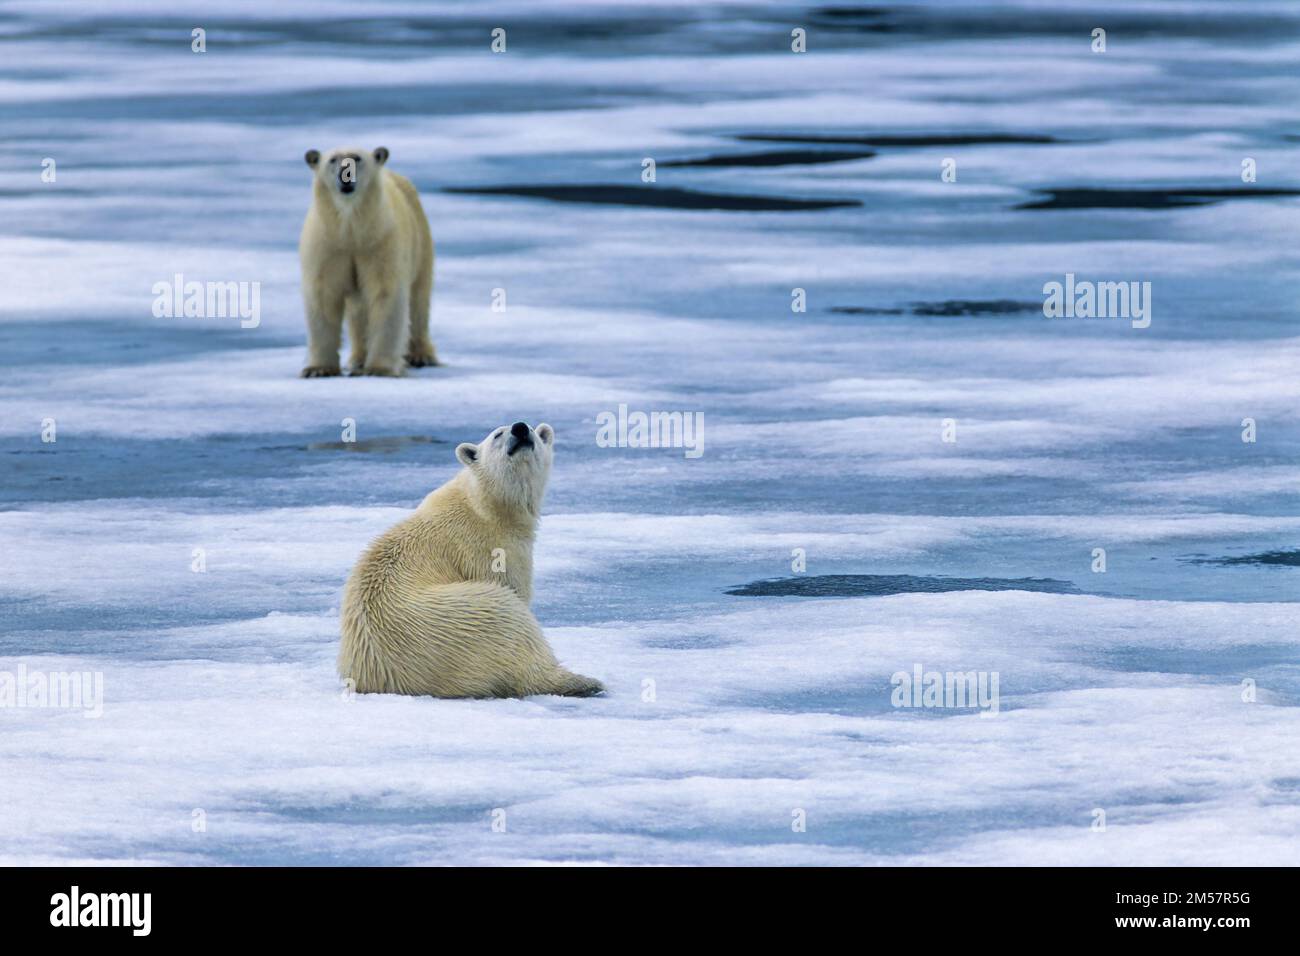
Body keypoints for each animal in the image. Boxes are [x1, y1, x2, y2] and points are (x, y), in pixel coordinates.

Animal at [299, 145, 436, 377]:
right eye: (333, 160)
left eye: (357, 158)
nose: (345, 174)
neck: (352, 230)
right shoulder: (328, 246)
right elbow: (324, 295)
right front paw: (318, 369)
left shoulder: (380, 244)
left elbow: (385, 293)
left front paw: (379, 368)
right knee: (358, 311)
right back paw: (358, 358)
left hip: (421, 243)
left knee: (418, 302)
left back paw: (421, 356)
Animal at [338, 421, 605, 699]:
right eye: (498, 434)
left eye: (531, 428)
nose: (520, 428)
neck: (486, 506)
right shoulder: (490, 550)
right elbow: (514, 587)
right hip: (475, 616)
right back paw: (580, 681)